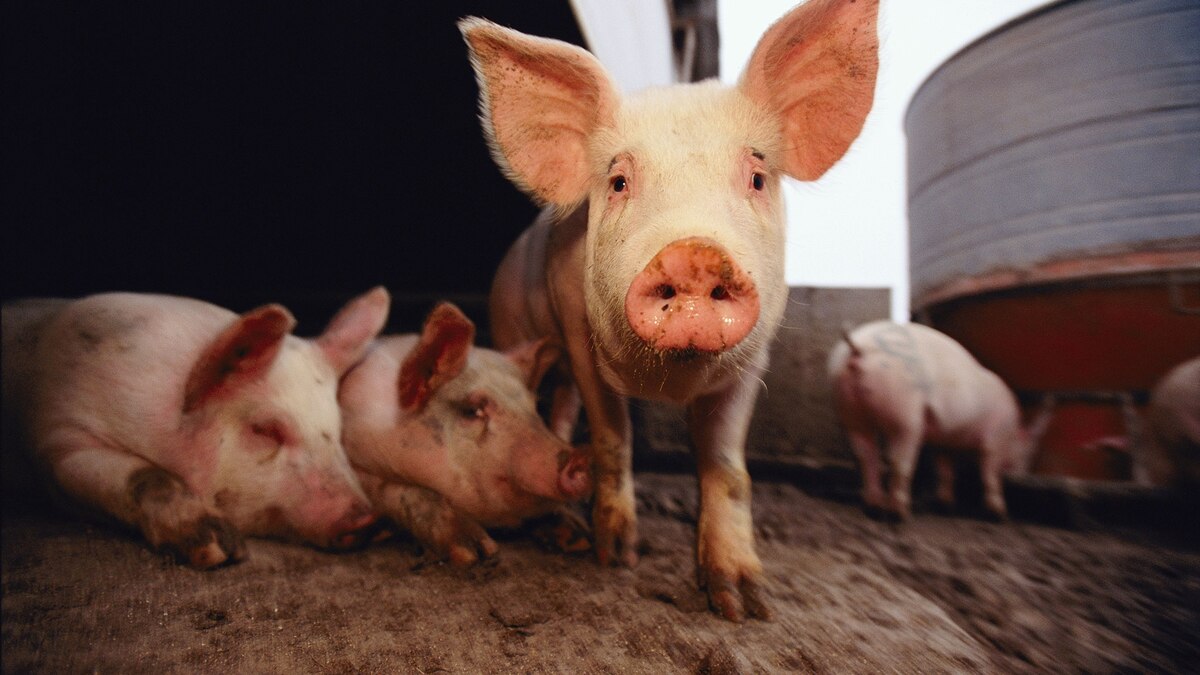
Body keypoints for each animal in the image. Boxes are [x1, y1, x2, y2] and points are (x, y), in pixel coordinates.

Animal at [1, 288, 390, 568]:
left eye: (337, 429)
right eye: (263, 429)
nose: (368, 520)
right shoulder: (57, 435)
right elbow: (142, 475)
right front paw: (221, 550)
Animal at [339, 302, 592, 566]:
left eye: (535, 407)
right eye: (473, 410)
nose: (579, 459)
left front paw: (579, 539)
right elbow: (398, 491)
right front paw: (477, 553)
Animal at [461, 0, 879, 621]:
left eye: (757, 177)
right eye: (618, 181)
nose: (694, 255)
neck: (670, 382)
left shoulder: (753, 361)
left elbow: (727, 465)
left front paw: (743, 605)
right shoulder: (580, 335)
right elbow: (613, 438)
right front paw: (618, 558)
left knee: (559, 414)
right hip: (514, 327)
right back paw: (569, 535)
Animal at [827, 321, 1047, 521]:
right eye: (1029, 451)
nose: (1023, 474)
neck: (1012, 432)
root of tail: (859, 348)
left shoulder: (945, 441)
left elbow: (945, 469)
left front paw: (945, 505)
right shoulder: (994, 439)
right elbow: (990, 475)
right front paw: (999, 515)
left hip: (848, 409)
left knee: (865, 457)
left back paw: (874, 507)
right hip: (903, 411)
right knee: (899, 462)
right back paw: (899, 514)